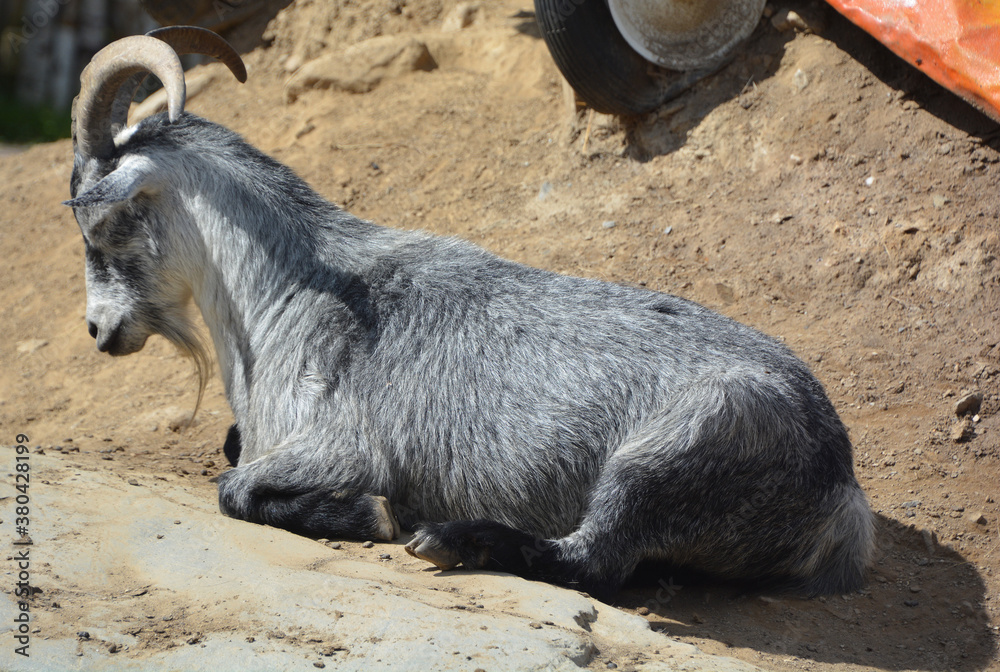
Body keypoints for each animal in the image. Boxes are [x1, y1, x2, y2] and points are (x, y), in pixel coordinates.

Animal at [65, 28, 874, 600]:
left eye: (96, 225)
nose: (100, 332)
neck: (289, 292)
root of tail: (842, 494)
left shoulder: (342, 446)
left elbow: (235, 488)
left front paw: (377, 516)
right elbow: (232, 454)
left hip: (671, 449)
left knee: (595, 561)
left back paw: (452, 539)